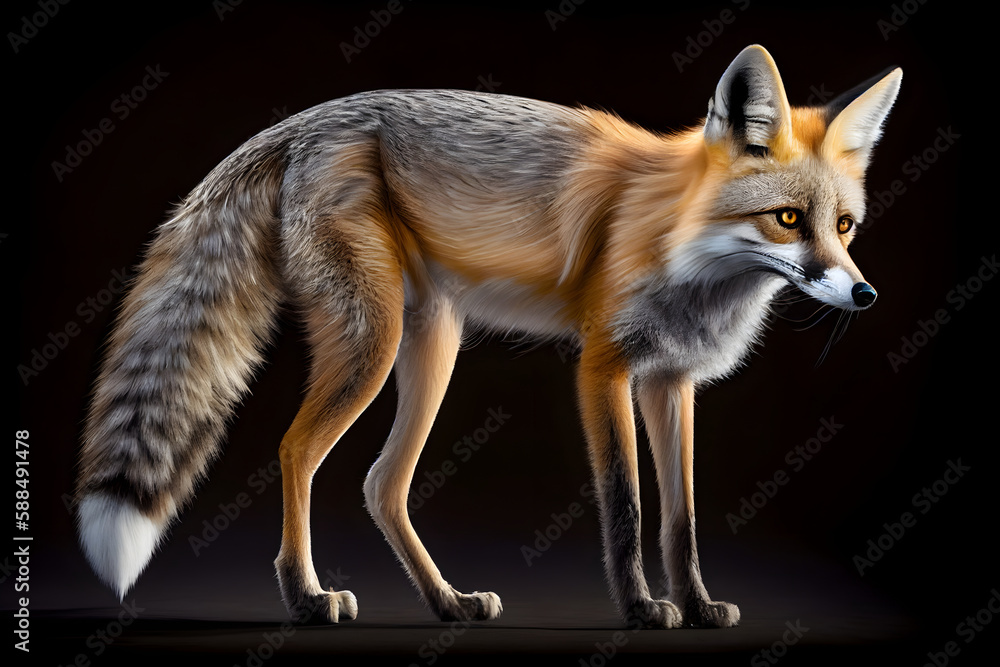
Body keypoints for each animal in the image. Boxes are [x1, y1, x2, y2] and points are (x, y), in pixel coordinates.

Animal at [75, 45, 901, 628]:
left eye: (845, 226)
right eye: (788, 219)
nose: (865, 294)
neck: (685, 246)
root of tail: (305, 122)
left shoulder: (673, 381)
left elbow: (682, 517)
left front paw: (696, 606)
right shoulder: (603, 368)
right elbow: (628, 505)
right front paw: (640, 608)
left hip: (432, 346)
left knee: (382, 483)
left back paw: (446, 602)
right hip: (373, 344)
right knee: (295, 450)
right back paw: (307, 596)